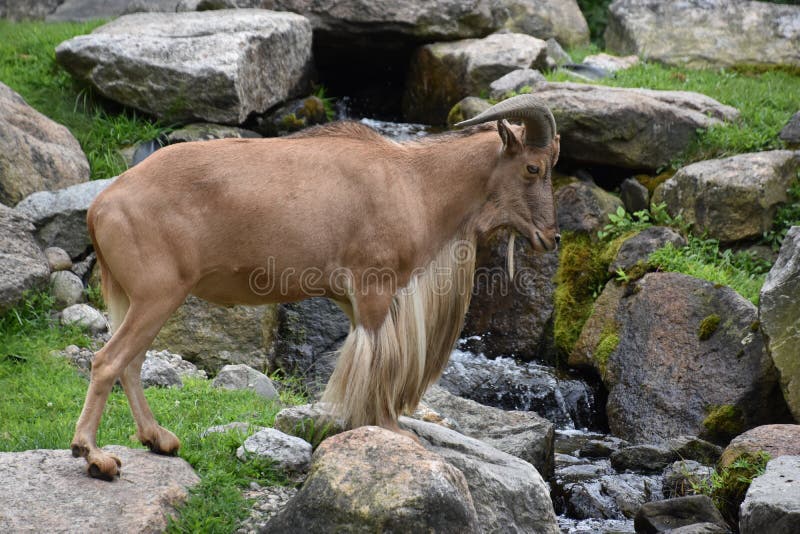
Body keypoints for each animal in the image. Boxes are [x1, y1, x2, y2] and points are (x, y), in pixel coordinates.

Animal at [71, 95, 560, 480]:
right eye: (533, 167)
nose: (551, 238)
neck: (416, 183)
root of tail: (100, 206)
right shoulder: (374, 289)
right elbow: (379, 363)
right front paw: (389, 428)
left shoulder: (352, 299)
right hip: (157, 296)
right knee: (108, 361)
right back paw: (94, 455)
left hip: (138, 299)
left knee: (131, 364)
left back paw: (158, 439)